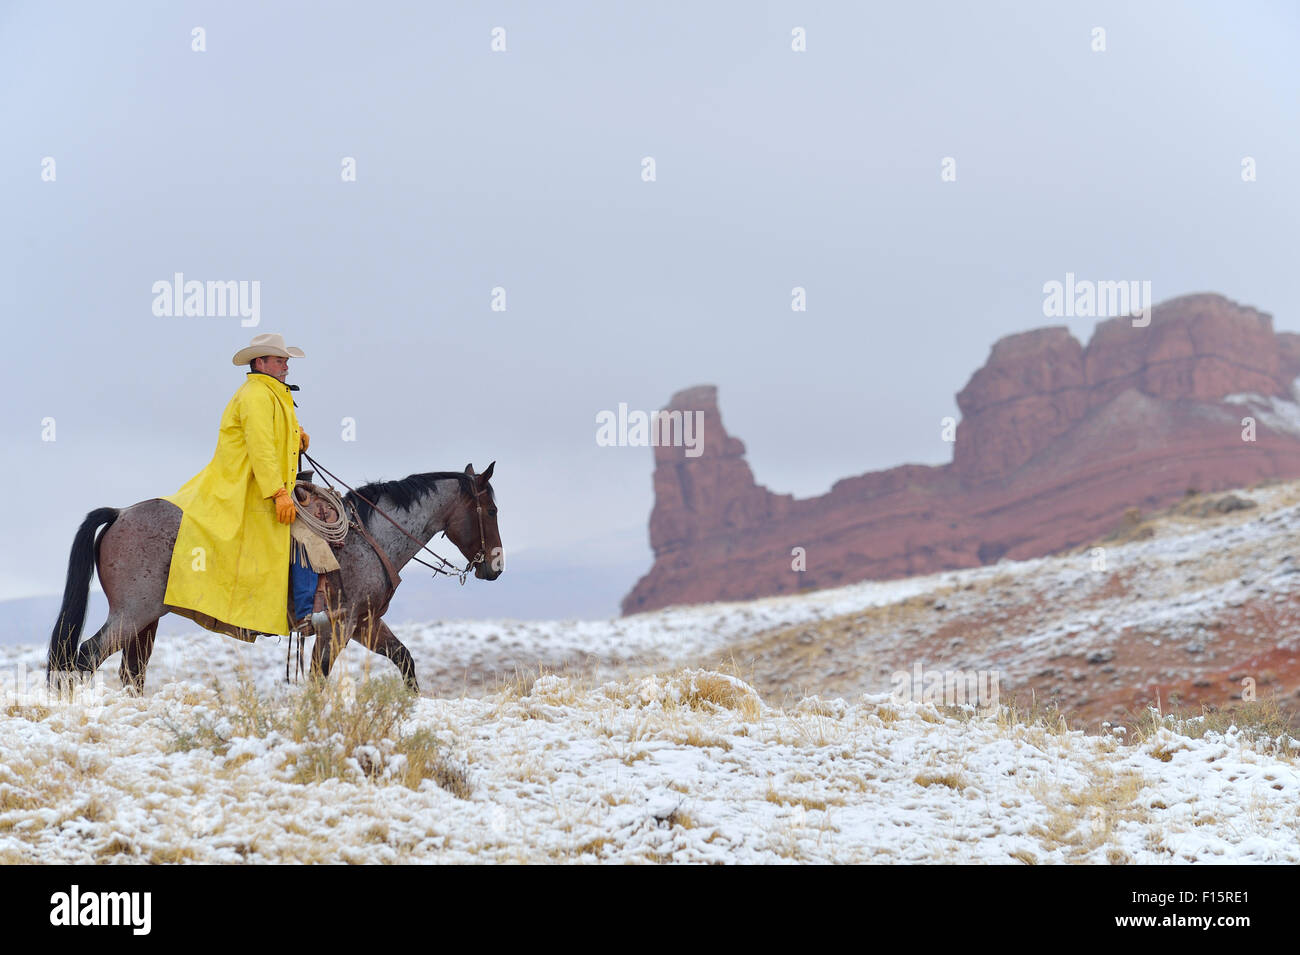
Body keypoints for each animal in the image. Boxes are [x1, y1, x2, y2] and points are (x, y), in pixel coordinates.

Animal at [46, 463, 502, 695]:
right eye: (492, 510)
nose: (495, 566)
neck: (370, 537)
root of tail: (121, 513)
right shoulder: (339, 625)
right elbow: (318, 677)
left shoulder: (366, 623)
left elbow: (405, 660)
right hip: (131, 614)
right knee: (83, 658)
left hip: (147, 621)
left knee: (130, 676)